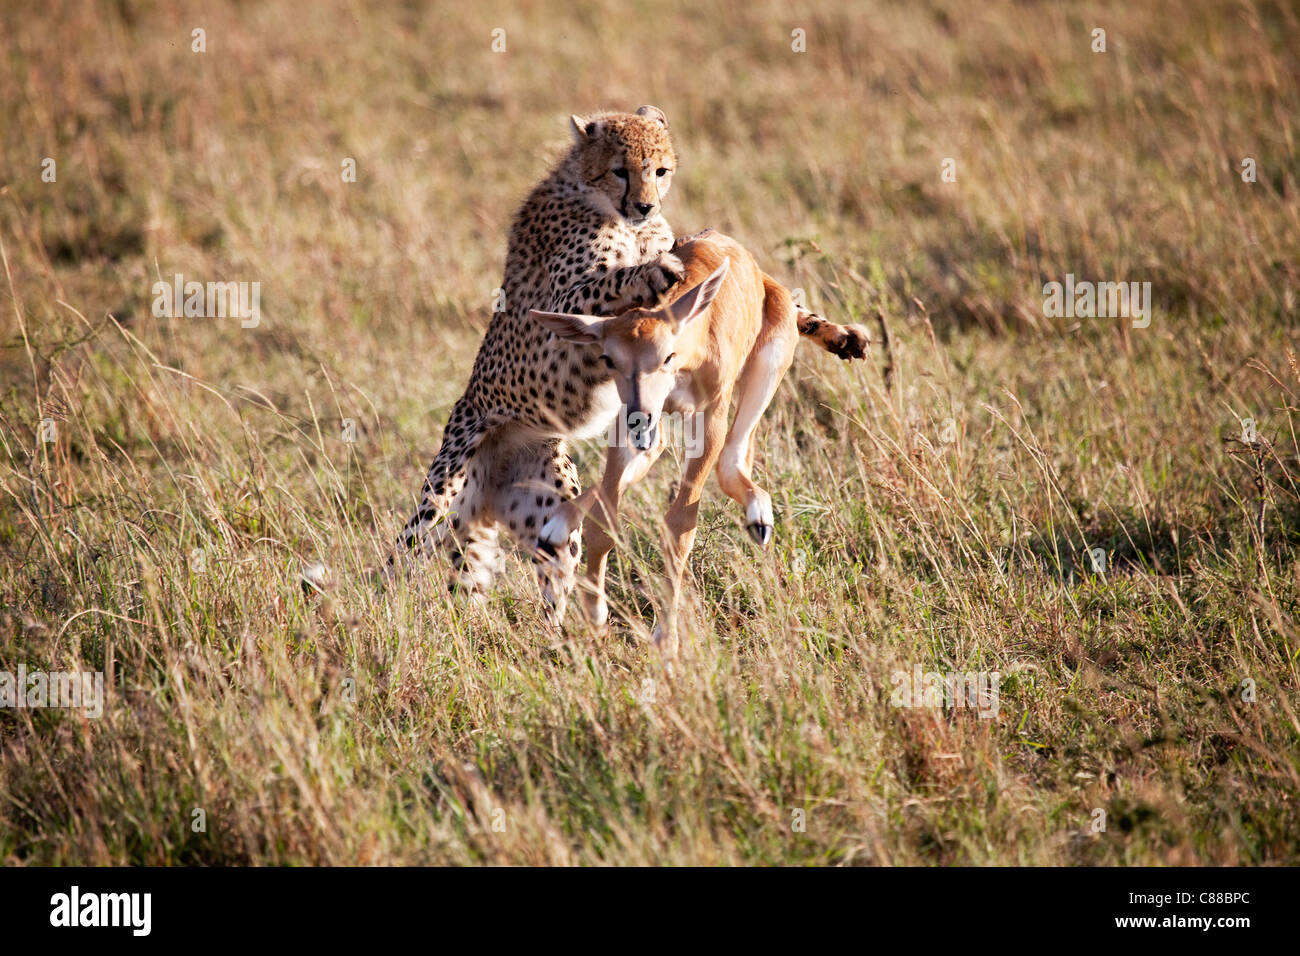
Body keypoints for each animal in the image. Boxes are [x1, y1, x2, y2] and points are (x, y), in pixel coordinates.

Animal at [531, 230, 869, 656]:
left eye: (666, 355)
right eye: (608, 358)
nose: (640, 415)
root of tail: (764, 278)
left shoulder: (712, 417)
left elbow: (680, 526)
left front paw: (665, 636)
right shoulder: (627, 423)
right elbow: (605, 520)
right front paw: (594, 614)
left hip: (768, 366)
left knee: (730, 461)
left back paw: (760, 519)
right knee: (659, 454)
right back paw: (555, 529)